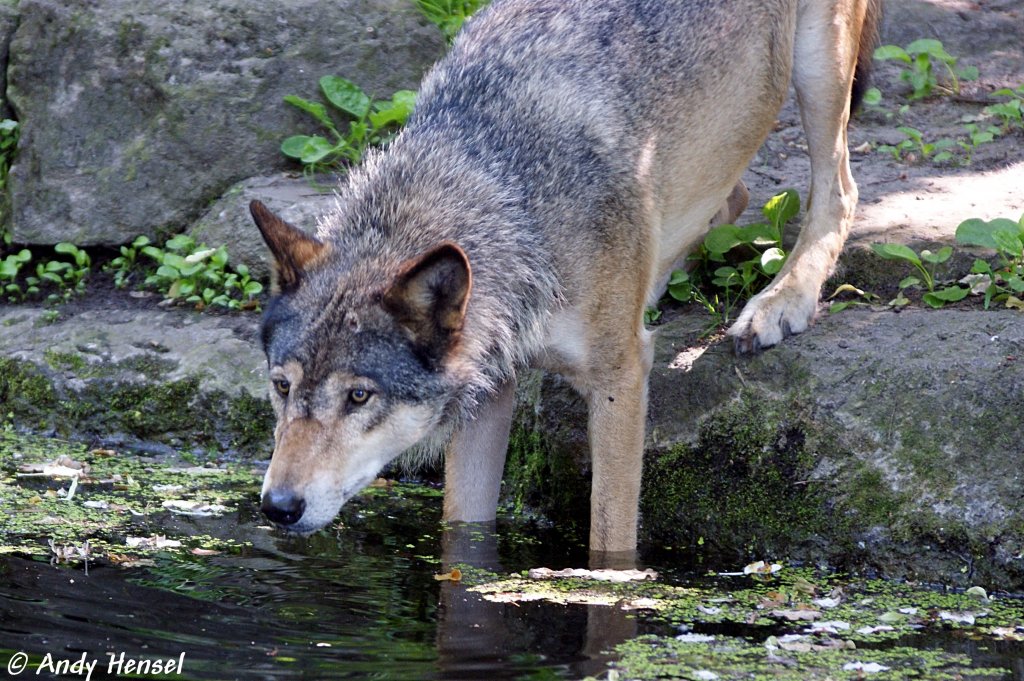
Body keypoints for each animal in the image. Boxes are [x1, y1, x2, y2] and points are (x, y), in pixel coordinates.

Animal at [249, 0, 880, 557]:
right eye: (282, 387)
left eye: (359, 396)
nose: (278, 507)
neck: (509, 199)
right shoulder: (489, 390)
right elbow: (464, 533)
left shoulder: (621, 379)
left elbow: (609, 540)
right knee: (736, 197)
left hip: (818, 67)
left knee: (840, 189)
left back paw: (780, 302)